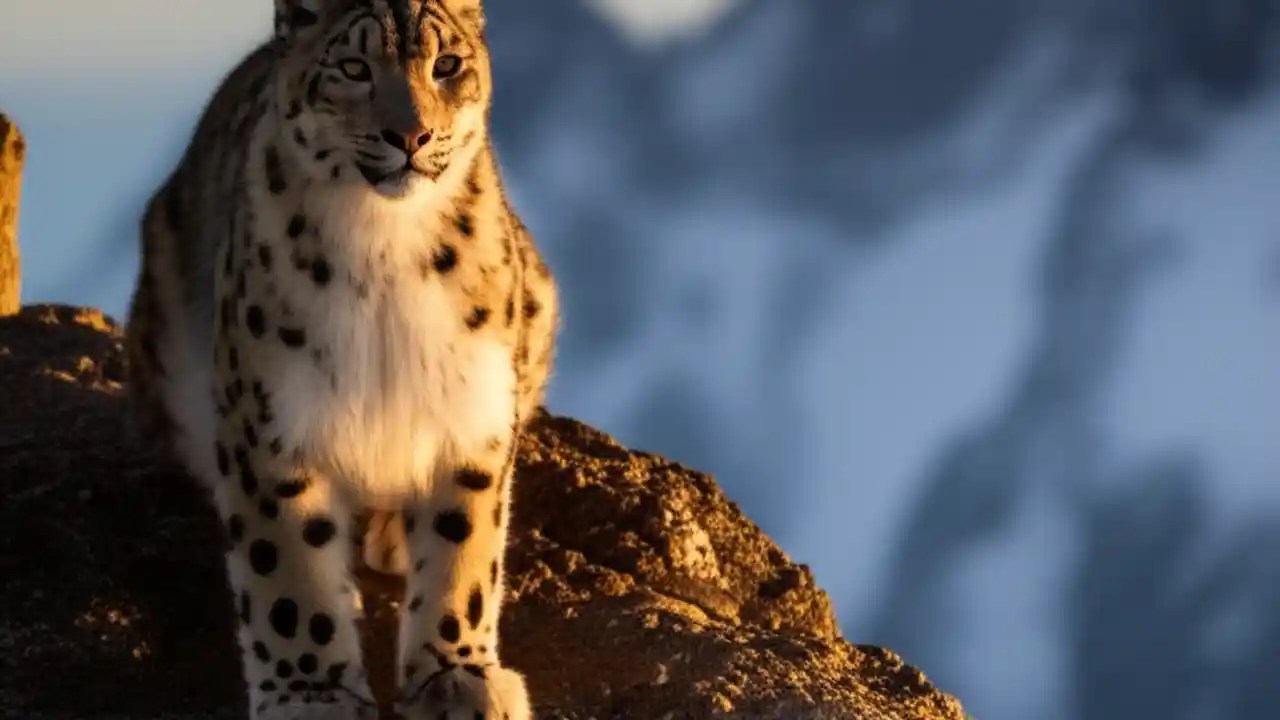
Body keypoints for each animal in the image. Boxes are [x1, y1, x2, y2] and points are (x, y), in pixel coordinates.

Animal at [123, 1, 558, 717]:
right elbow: (287, 568)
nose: (412, 135)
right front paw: (310, 691)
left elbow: (464, 546)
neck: (388, 244)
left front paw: (455, 677)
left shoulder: (473, 409)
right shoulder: (271, 420)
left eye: (446, 64)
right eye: (354, 67)